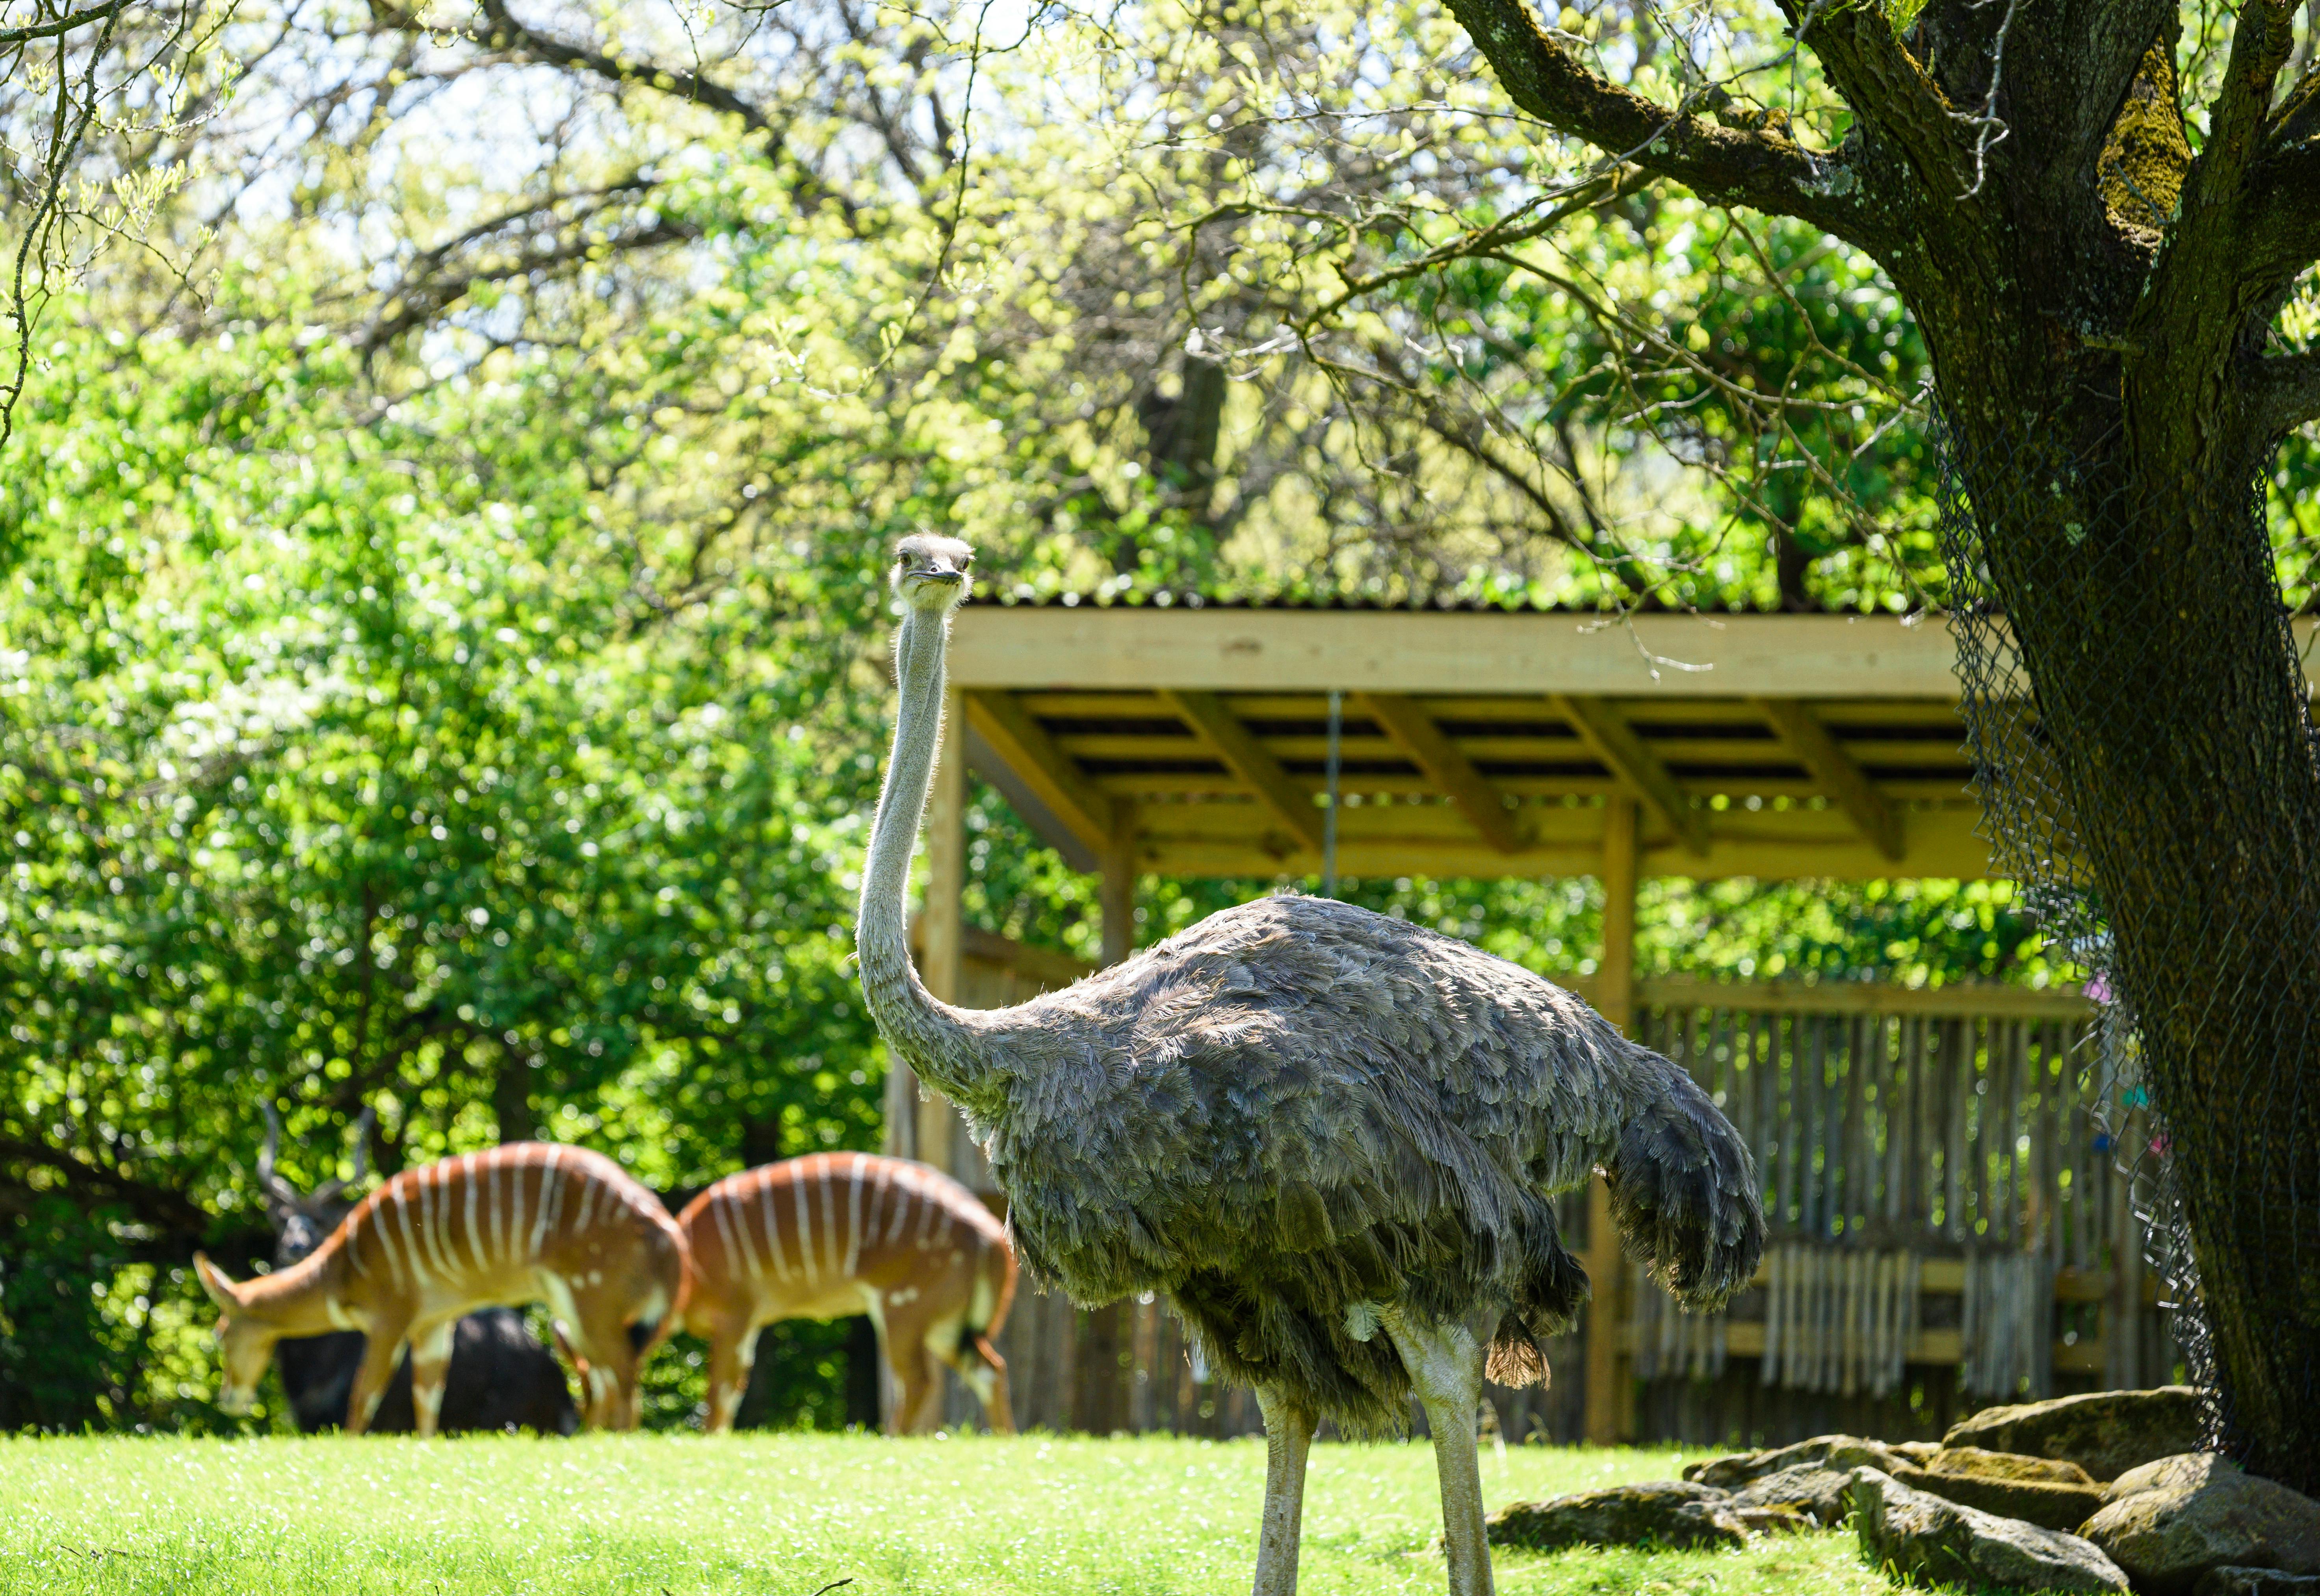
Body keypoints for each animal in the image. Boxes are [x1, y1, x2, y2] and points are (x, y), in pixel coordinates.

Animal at [195, 1141, 688, 1436]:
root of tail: (666, 1233)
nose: (229, 1397)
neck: (342, 1267)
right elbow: (428, 1400)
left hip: (590, 1301)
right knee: (609, 1379)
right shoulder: (434, 1325)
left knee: (622, 1377)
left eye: (221, 1333)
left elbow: (363, 1397)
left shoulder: (390, 1318)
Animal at [677, 1152, 1016, 1435]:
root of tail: (987, 1235)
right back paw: (1004, 1438)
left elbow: (721, 1388)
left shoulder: (735, 1316)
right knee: (991, 1370)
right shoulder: (748, 1324)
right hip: (945, 1328)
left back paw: (892, 1438)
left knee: (918, 1379)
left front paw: (711, 1438)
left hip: (902, 1312)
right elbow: (735, 1386)